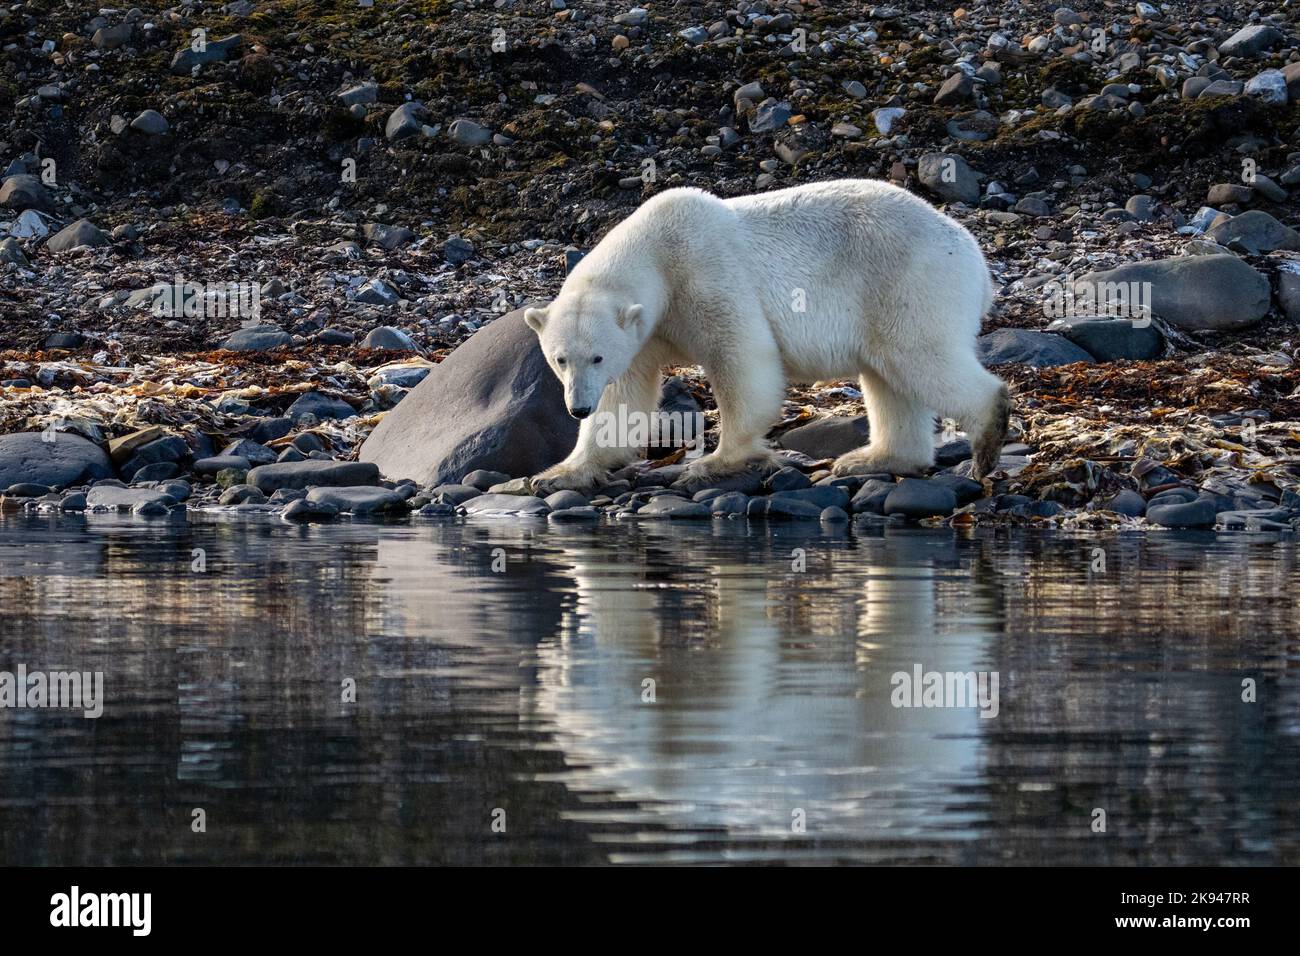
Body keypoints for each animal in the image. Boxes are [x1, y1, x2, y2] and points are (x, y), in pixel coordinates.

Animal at [524, 178, 1010, 494]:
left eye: (597, 357)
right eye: (561, 359)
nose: (577, 407)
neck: (657, 250)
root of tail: (975, 254)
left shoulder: (704, 274)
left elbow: (742, 358)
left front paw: (717, 462)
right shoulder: (644, 332)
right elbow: (623, 397)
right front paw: (558, 473)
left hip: (910, 280)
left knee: (918, 356)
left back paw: (987, 435)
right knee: (887, 376)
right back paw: (873, 458)